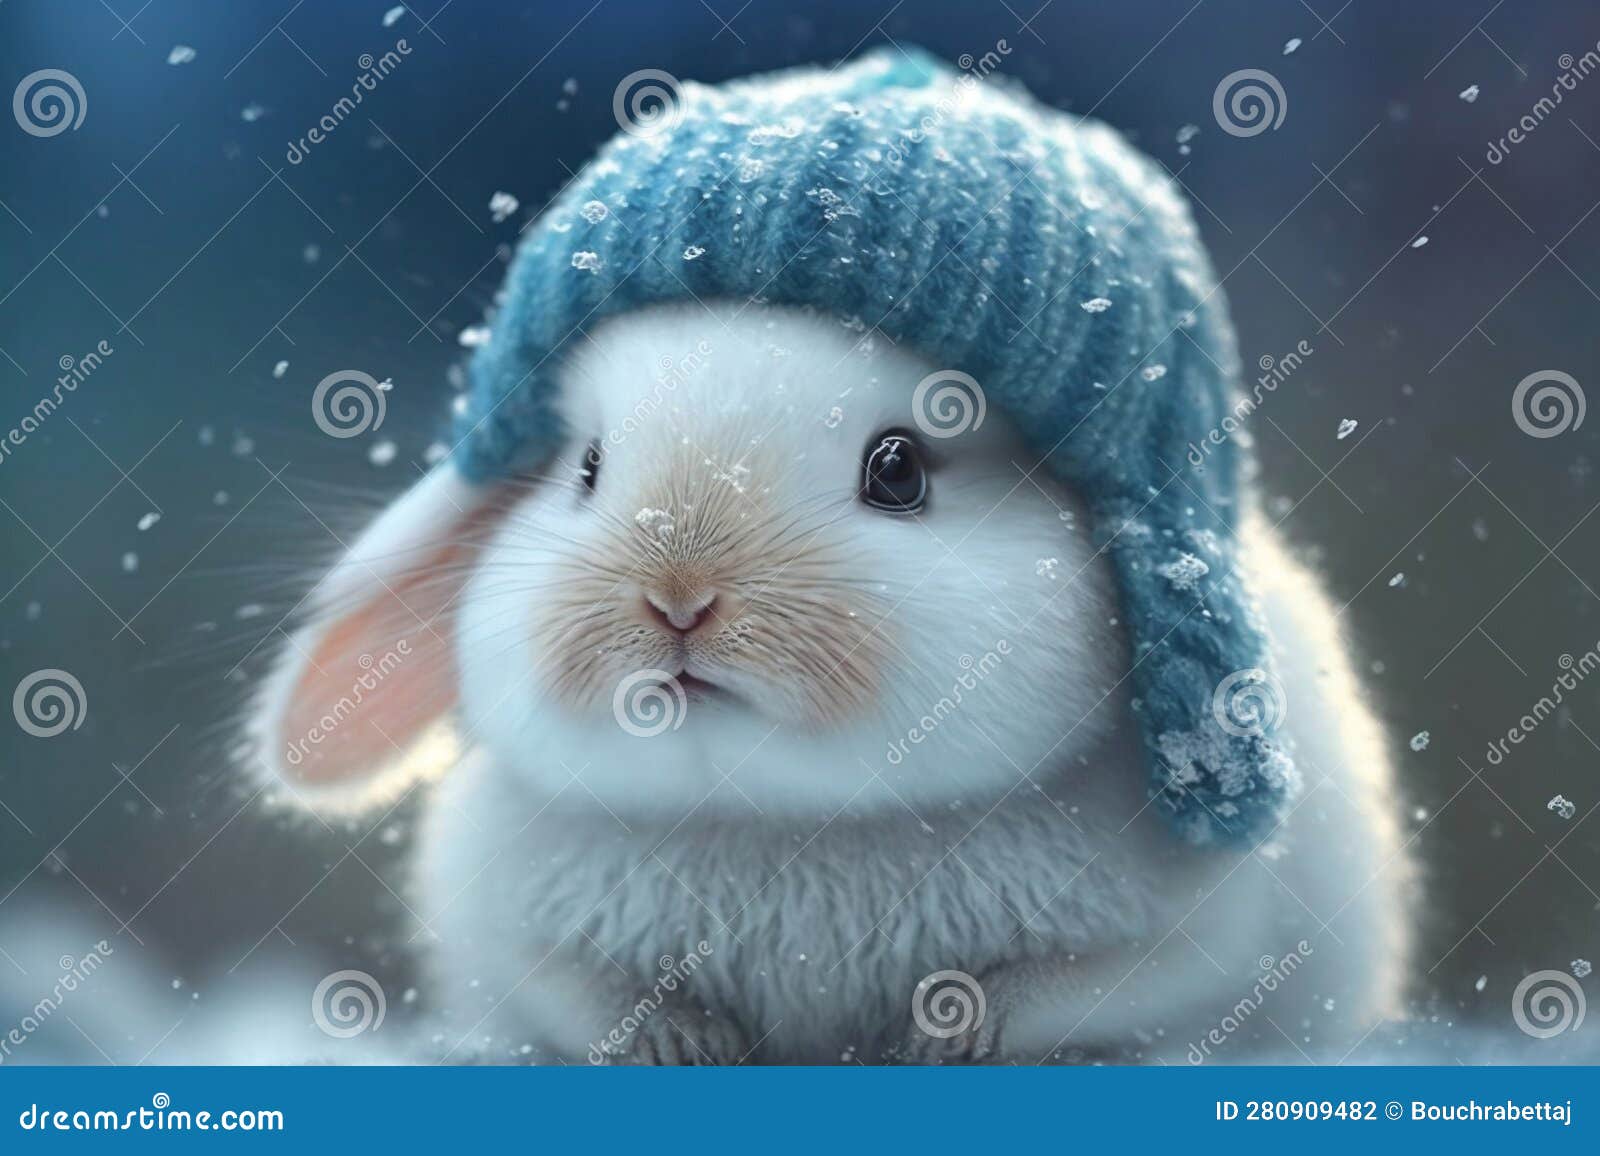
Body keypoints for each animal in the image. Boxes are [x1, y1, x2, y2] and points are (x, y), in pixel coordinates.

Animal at [247, 301, 1413, 1064]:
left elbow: (1103, 988)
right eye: (586, 467)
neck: (787, 826)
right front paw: (683, 1042)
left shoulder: (1206, 931)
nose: (677, 599)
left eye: (897, 470)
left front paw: (942, 1034)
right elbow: (579, 998)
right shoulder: (506, 929)